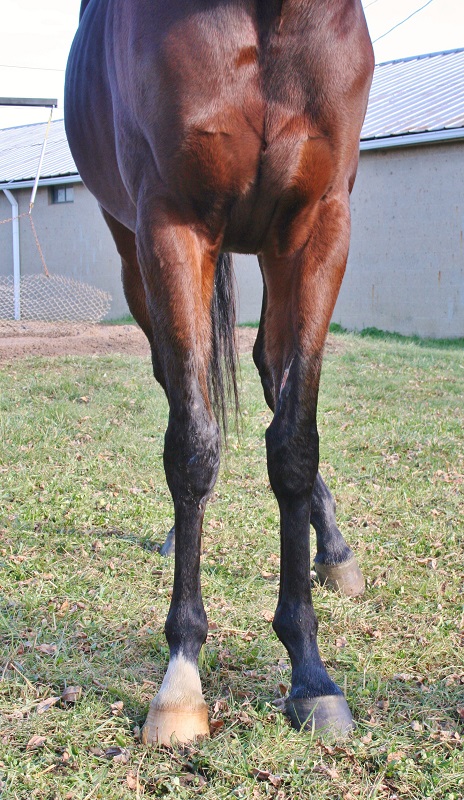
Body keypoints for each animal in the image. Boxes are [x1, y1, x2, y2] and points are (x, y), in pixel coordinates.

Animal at [65, 0, 374, 745]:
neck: (267, 18)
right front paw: (181, 678)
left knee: (267, 370)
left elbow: (294, 443)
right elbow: (193, 444)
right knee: (184, 385)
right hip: (136, 253)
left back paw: (334, 549)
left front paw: (311, 673)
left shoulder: (320, 225)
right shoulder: (169, 223)